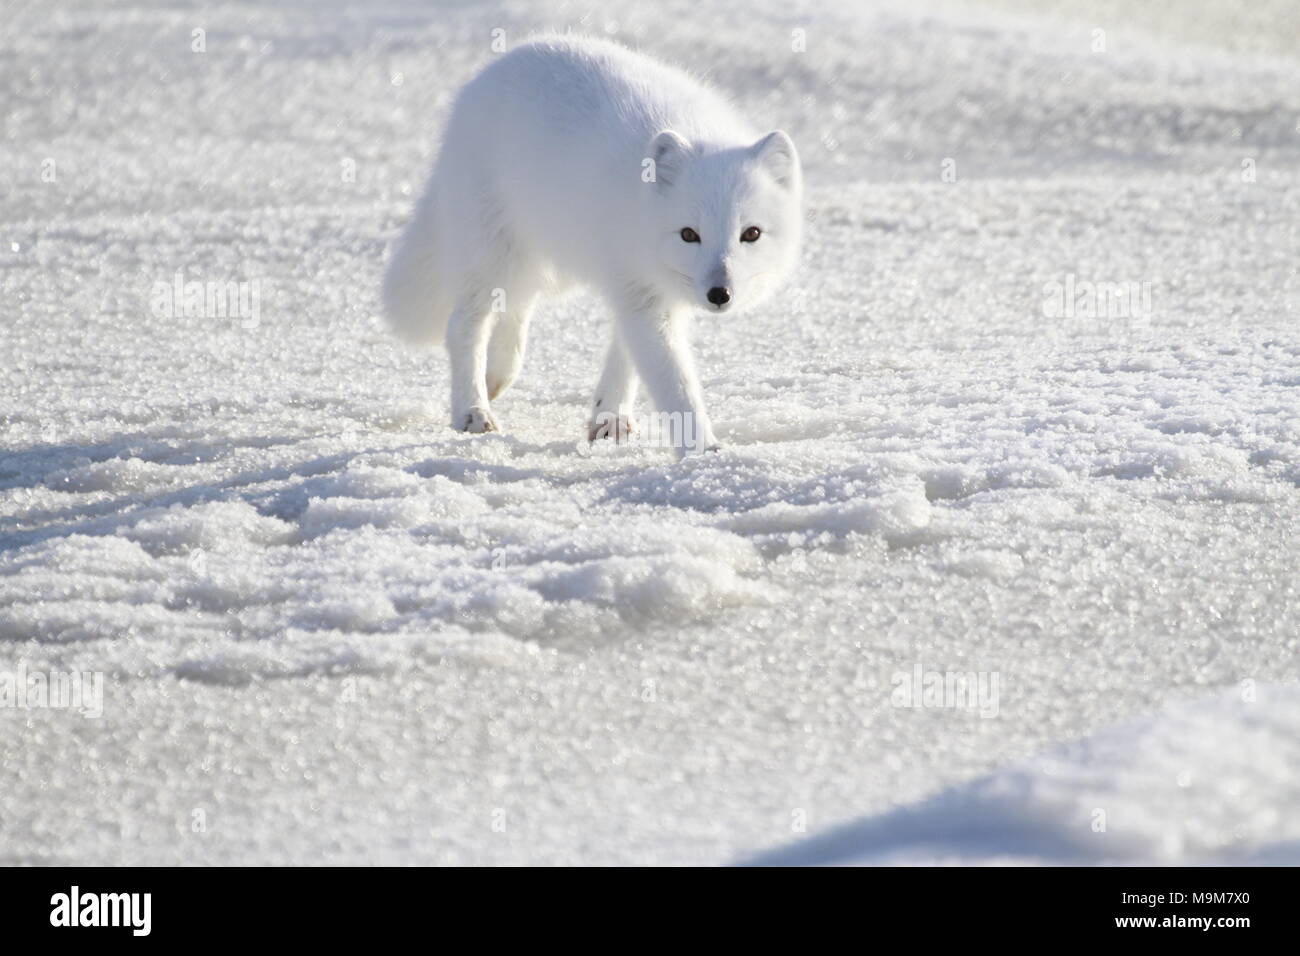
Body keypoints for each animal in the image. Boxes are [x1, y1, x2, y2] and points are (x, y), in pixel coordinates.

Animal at [382, 34, 803, 457]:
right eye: (689, 234)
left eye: (750, 233)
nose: (719, 294)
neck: (640, 206)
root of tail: (492, 70)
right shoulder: (641, 291)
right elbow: (673, 380)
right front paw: (702, 452)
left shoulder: (647, 287)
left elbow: (626, 354)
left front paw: (610, 418)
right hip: (490, 252)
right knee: (465, 325)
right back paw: (472, 410)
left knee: (517, 304)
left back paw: (498, 375)